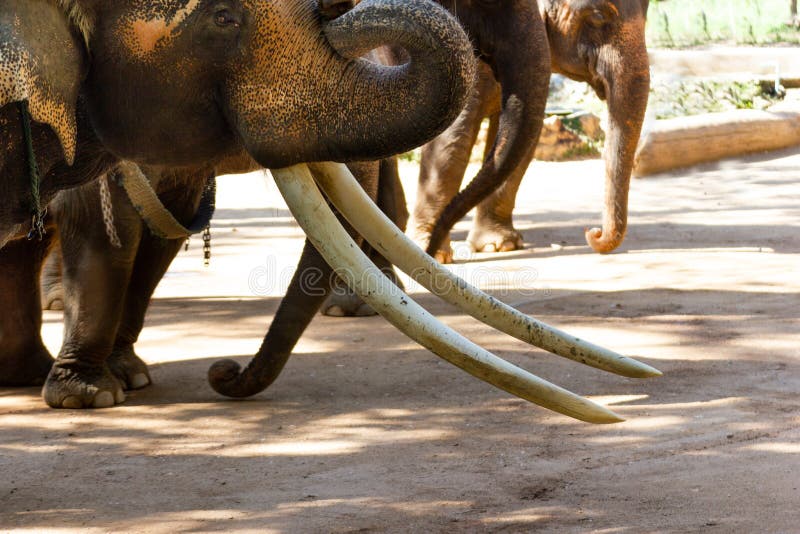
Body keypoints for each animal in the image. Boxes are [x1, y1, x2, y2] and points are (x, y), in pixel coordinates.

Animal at [411, 0, 651, 260]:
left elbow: (520, 139)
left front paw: (498, 245)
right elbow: (452, 136)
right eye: (598, 16)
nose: (594, 232)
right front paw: (433, 253)